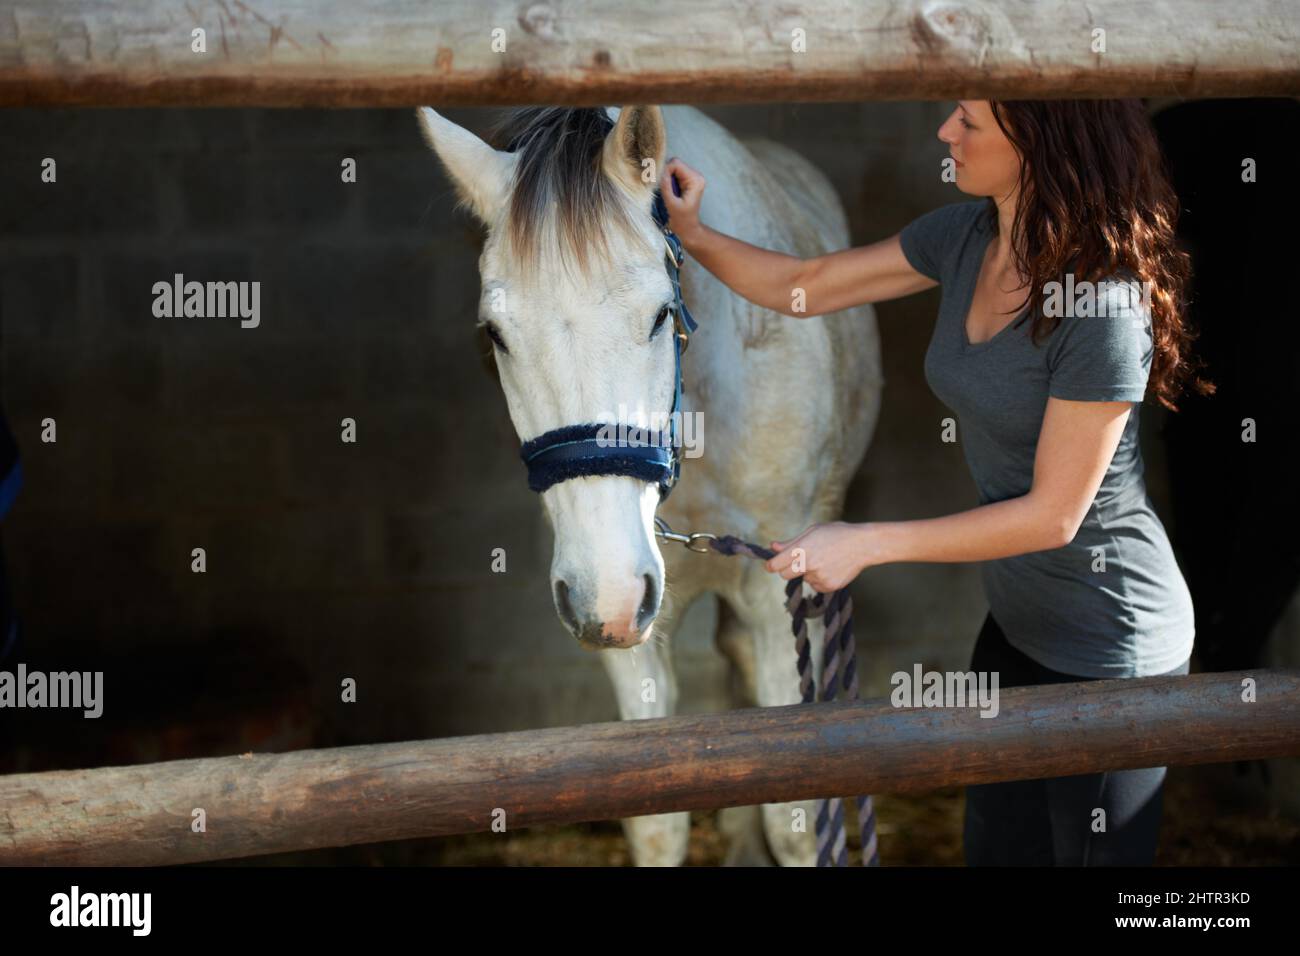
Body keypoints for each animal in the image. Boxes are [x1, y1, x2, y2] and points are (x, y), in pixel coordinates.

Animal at [417, 104, 883, 865]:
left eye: (662, 313)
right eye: (494, 333)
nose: (606, 596)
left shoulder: (774, 594)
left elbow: (793, 813)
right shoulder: (632, 618)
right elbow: (655, 813)